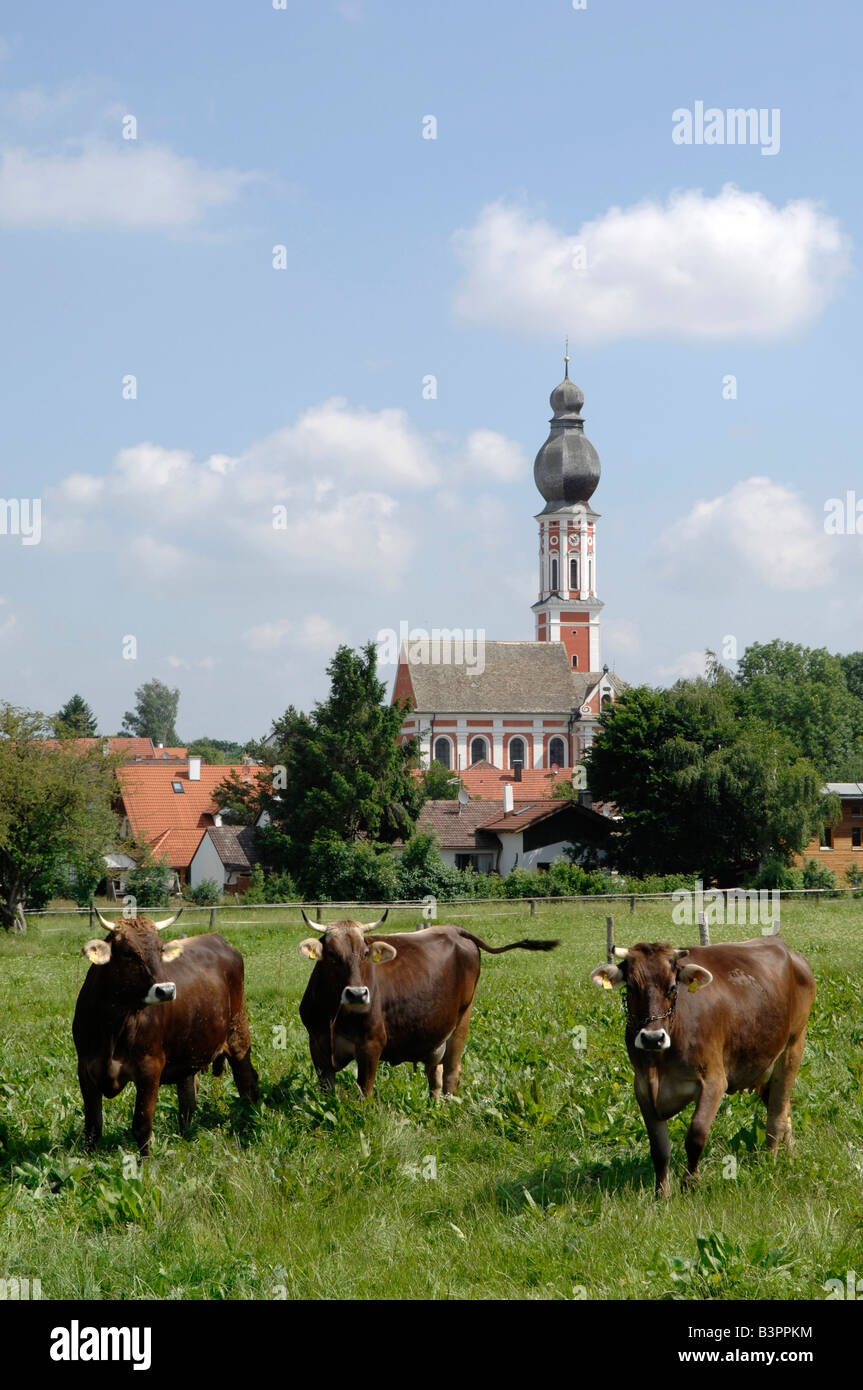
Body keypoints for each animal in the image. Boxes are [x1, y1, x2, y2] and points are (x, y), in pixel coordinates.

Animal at [73, 908, 259, 1157]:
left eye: (160, 949)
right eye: (129, 953)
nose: (167, 990)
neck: (112, 1025)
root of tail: (217, 938)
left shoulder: (150, 1068)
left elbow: (142, 1125)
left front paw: (146, 1164)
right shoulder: (85, 1068)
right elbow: (93, 1127)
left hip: (238, 1033)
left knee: (247, 1082)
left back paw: (248, 1121)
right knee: (188, 1097)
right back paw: (186, 1136)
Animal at [297, 909, 559, 1098]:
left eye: (365, 953)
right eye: (331, 954)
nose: (357, 994)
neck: (334, 1016)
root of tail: (454, 929)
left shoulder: (371, 1045)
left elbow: (364, 1093)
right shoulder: (317, 1045)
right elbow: (326, 1092)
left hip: (463, 1017)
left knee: (452, 1071)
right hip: (435, 1030)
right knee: (436, 1072)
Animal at [589, 936, 816, 1196]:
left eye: (672, 987)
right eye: (631, 987)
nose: (652, 1038)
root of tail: (781, 944)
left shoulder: (714, 1081)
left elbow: (696, 1135)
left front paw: (690, 1183)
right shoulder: (644, 1087)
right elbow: (659, 1148)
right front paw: (662, 1193)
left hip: (793, 1047)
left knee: (776, 1115)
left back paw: (770, 1162)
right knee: (784, 1109)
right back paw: (790, 1156)